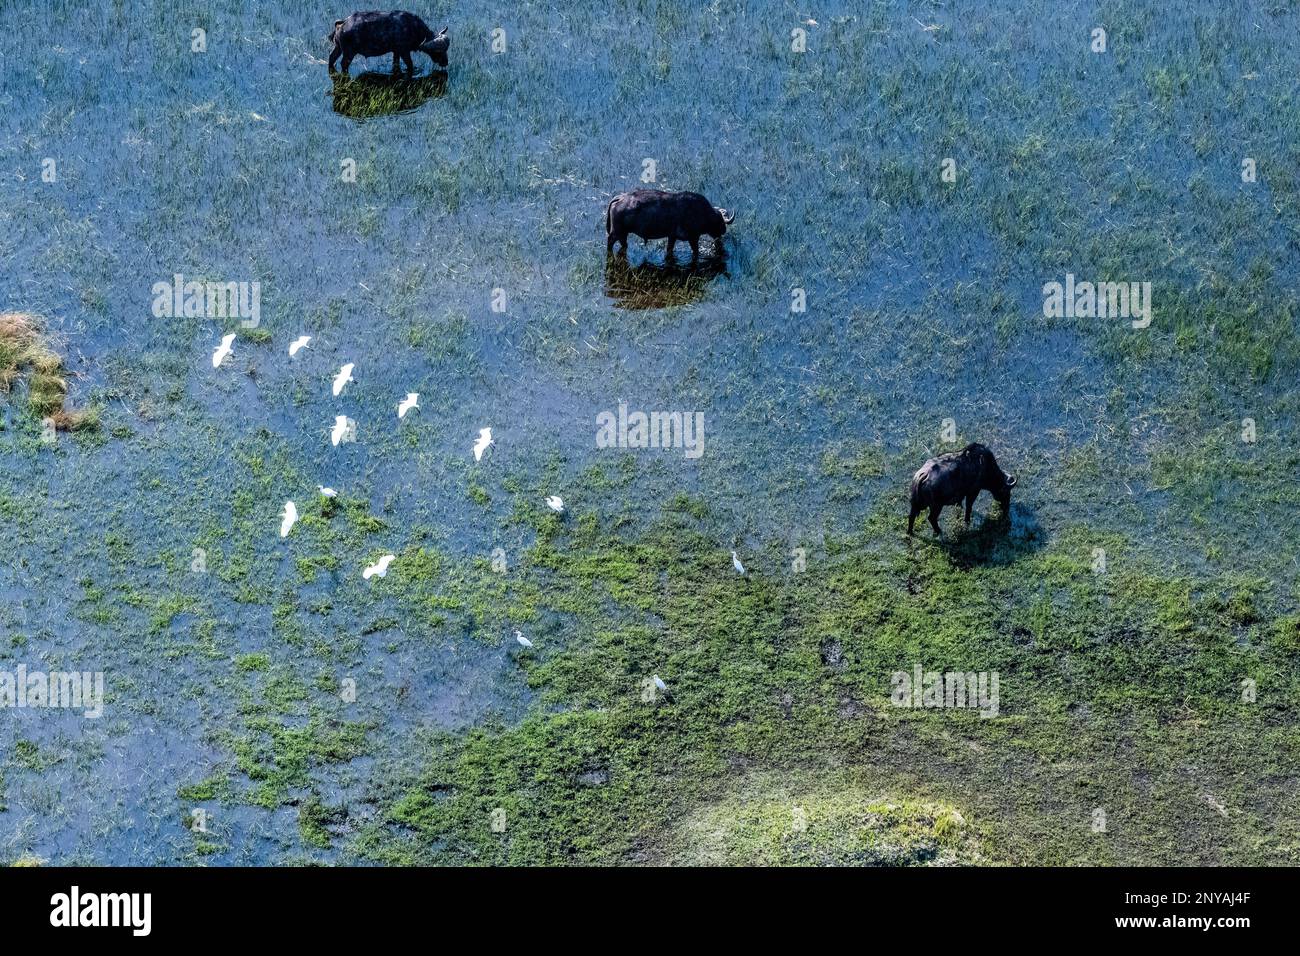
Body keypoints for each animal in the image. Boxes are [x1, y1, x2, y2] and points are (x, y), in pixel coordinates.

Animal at [605, 189, 734, 258]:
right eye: (721, 223)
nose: (723, 231)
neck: (703, 212)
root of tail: (620, 198)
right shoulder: (693, 238)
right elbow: (696, 251)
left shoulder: (672, 237)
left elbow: (669, 249)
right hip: (617, 232)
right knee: (610, 241)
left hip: (623, 233)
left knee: (623, 244)